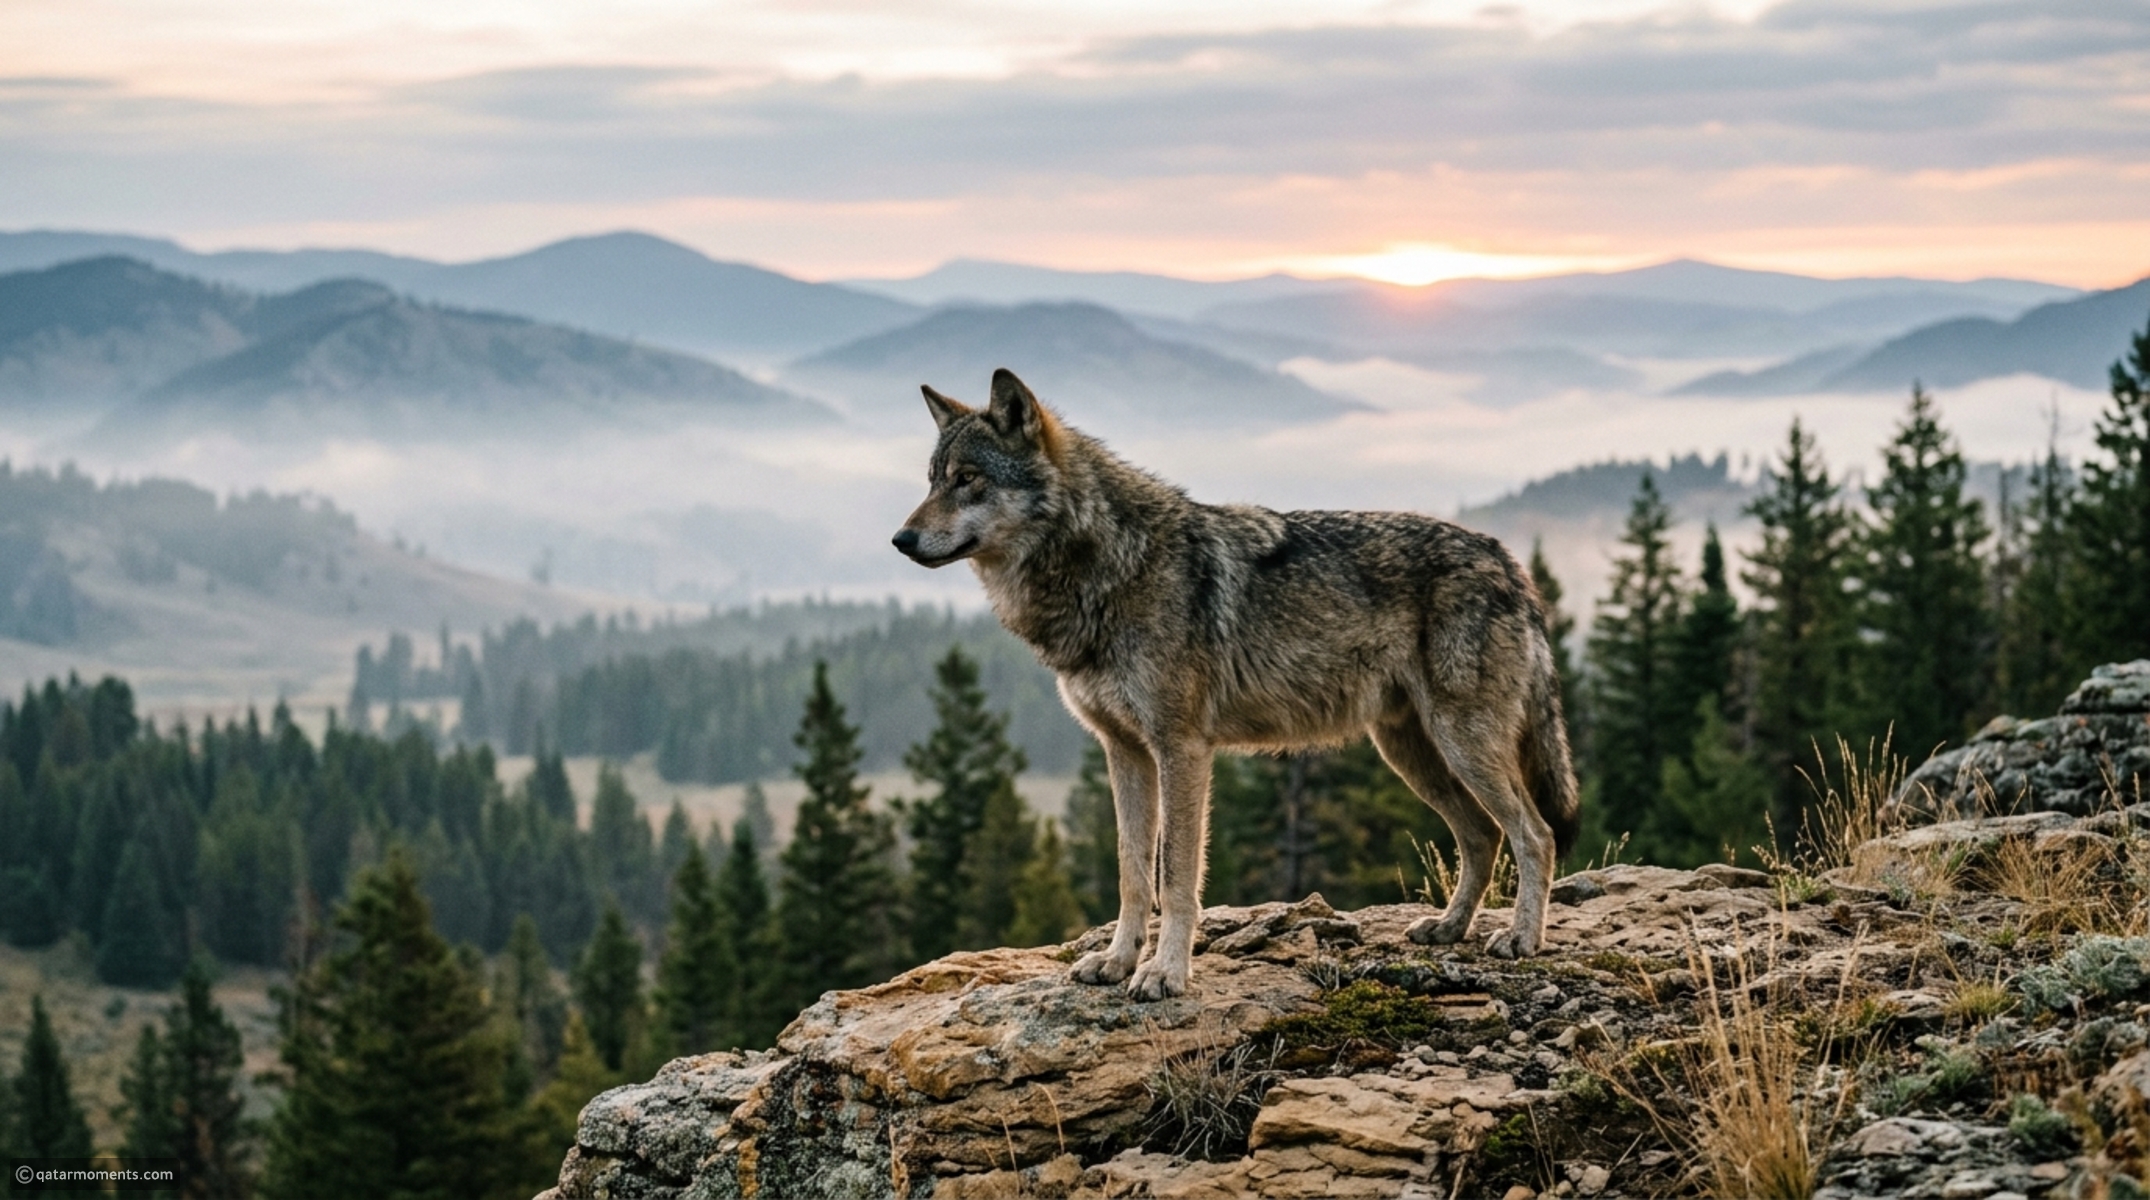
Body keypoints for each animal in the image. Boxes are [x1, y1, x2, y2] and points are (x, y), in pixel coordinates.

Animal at [893, 369, 1579, 1000]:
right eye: (931, 479)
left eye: (968, 479)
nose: (900, 539)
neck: (1109, 568)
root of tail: (1507, 561)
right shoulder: (1124, 753)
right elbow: (1132, 872)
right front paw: (1116, 963)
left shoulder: (1182, 750)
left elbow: (1175, 876)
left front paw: (1164, 973)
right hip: (1411, 753)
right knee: (1483, 834)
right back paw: (1448, 928)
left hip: (1461, 745)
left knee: (1535, 834)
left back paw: (1521, 938)